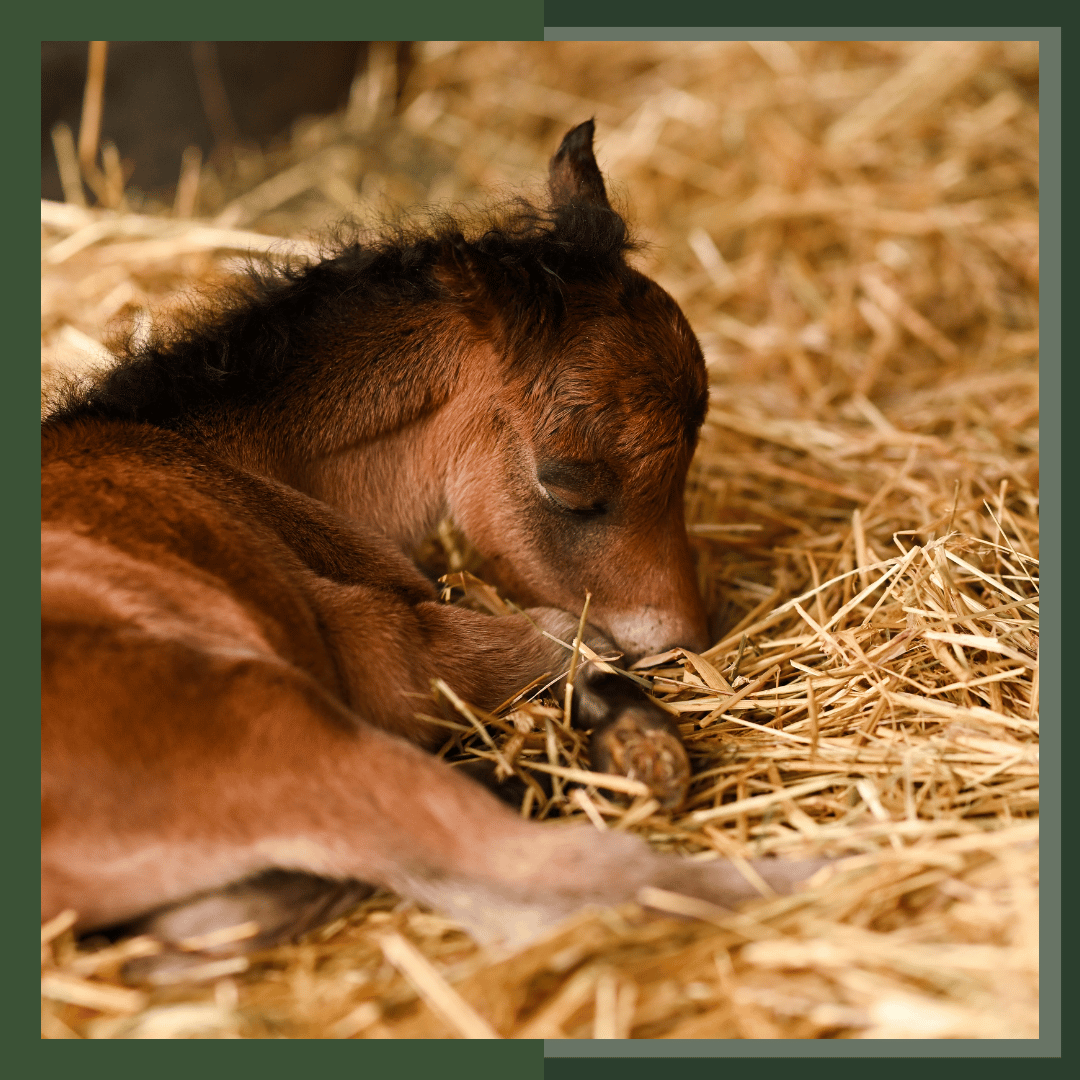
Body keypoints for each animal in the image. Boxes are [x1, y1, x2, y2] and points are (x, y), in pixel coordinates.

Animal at [42, 121, 824, 971]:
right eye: (568, 485)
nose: (683, 641)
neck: (221, 455)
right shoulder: (382, 649)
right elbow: (569, 634)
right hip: (278, 734)